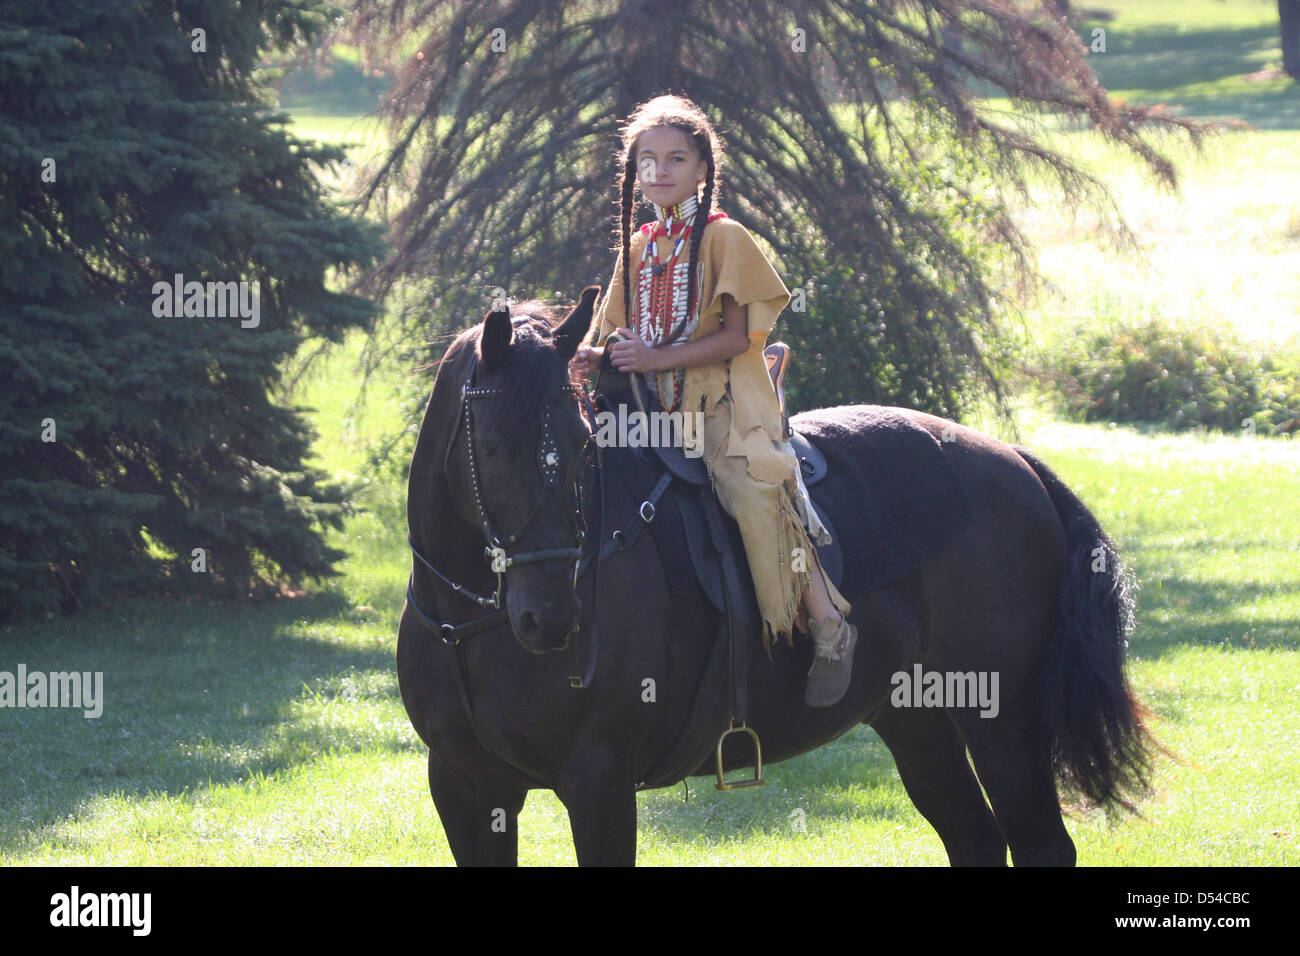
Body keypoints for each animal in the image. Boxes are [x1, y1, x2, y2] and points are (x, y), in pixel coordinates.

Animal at [396, 285, 1153, 866]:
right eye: (495, 447)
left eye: (584, 445)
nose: (551, 617)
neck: (472, 626)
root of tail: (1020, 464)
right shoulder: (466, 790)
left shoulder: (599, 786)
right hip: (916, 721)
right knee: (975, 841)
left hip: (1002, 722)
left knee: (1041, 846)